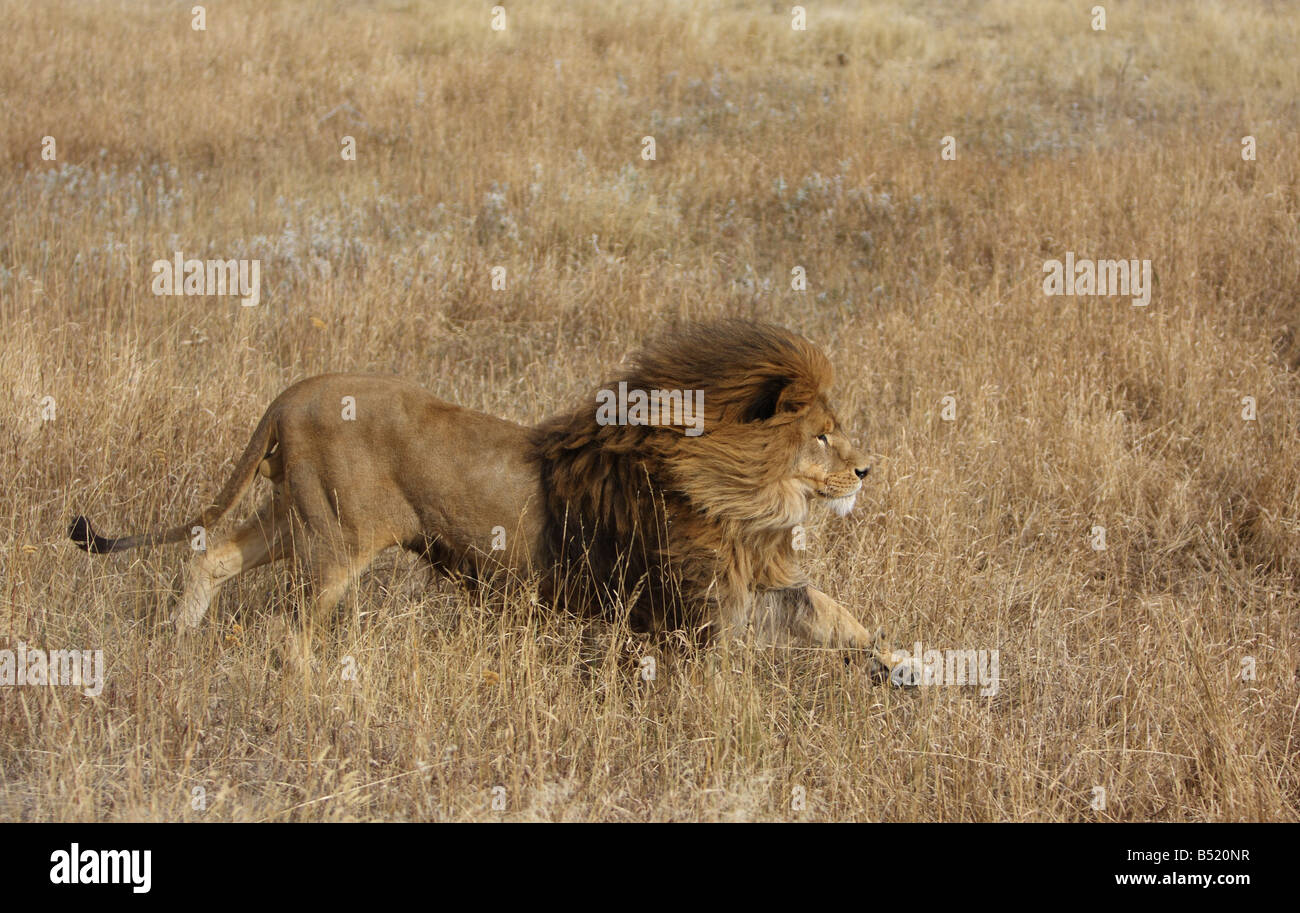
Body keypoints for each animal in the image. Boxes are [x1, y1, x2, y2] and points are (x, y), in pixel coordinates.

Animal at [69, 320, 919, 682]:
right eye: (821, 436)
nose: (867, 470)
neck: (731, 479)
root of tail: (291, 394)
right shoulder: (698, 598)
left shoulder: (742, 580)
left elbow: (835, 610)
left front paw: (905, 664)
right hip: (335, 540)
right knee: (288, 631)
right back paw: (318, 686)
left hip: (296, 516)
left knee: (211, 555)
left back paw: (178, 639)